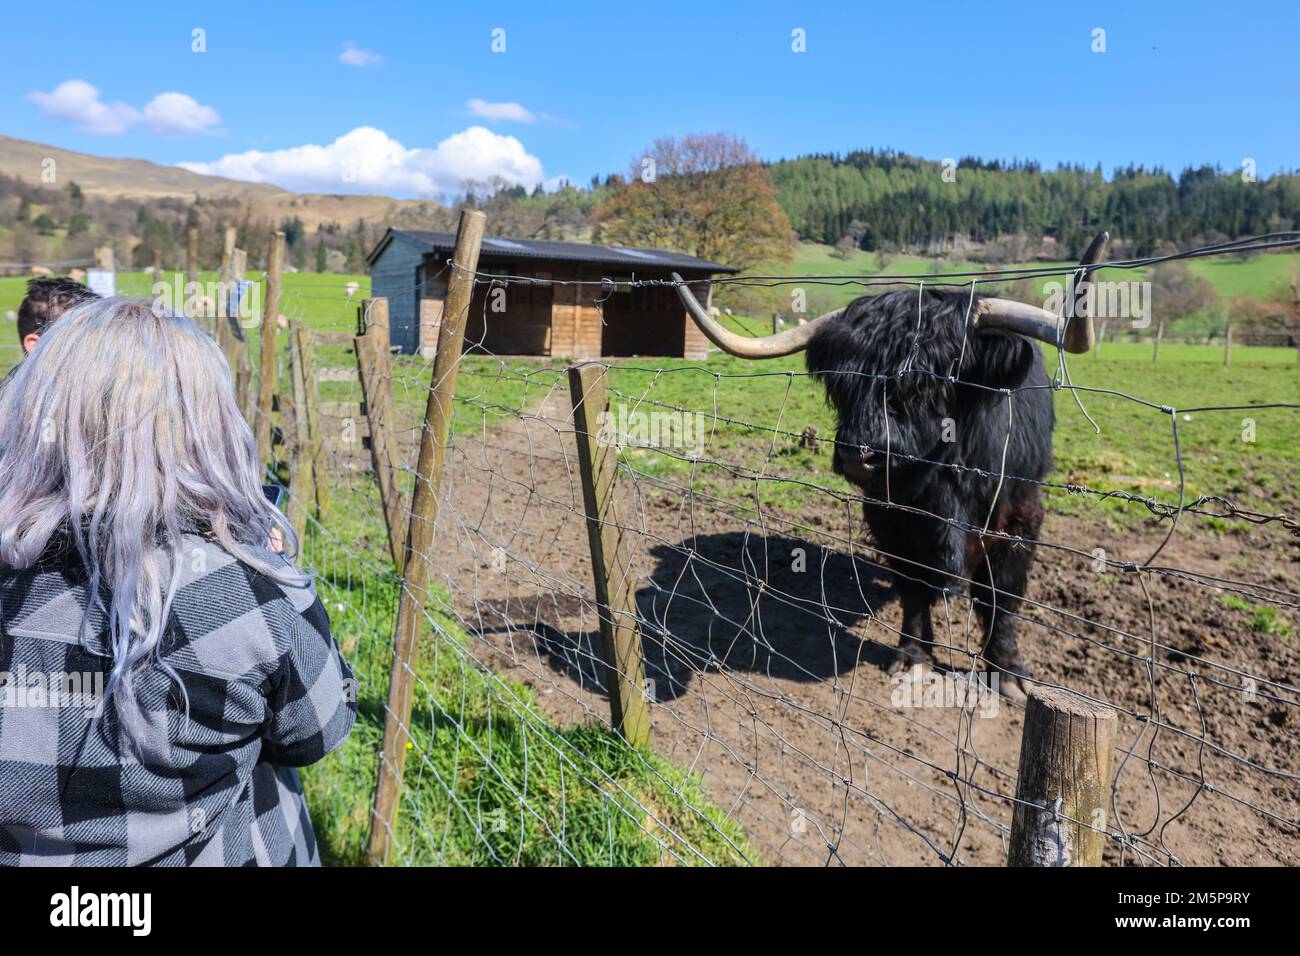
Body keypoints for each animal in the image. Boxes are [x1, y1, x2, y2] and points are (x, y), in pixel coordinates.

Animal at [672, 234, 1108, 701]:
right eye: (840, 383)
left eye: (928, 381)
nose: (858, 456)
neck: (945, 489)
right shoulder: (890, 520)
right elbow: (913, 587)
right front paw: (914, 657)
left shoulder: (1020, 518)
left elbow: (1002, 596)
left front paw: (1007, 672)